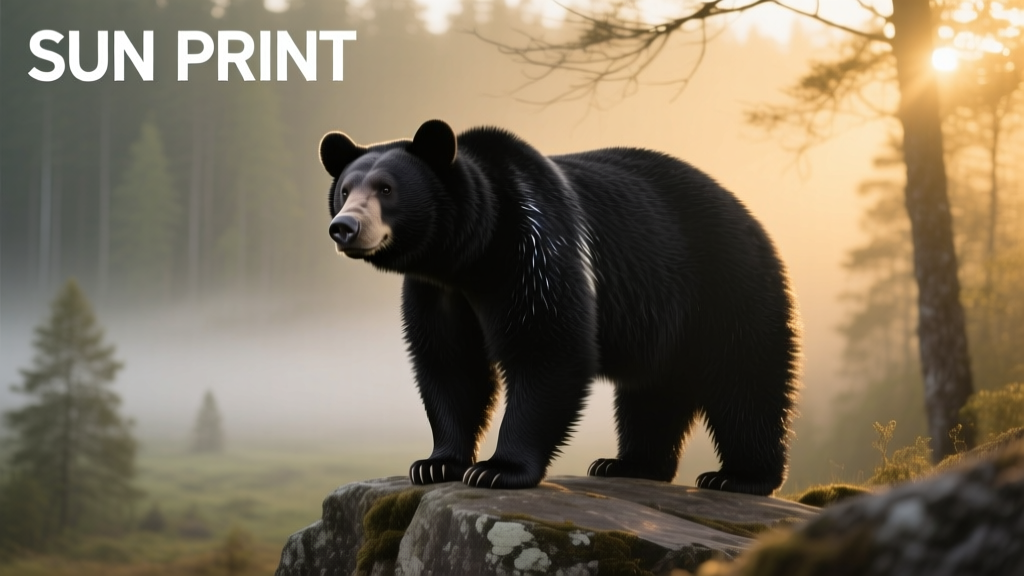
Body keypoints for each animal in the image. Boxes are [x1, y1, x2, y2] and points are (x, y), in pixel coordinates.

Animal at [320, 119, 800, 495]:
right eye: (344, 189)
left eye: (386, 188)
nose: (344, 227)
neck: (472, 254)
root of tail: (749, 212)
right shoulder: (437, 291)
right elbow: (449, 362)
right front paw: (436, 463)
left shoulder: (534, 246)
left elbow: (547, 346)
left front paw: (498, 469)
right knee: (654, 387)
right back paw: (630, 464)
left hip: (725, 281)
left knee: (745, 376)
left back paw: (739, 476)